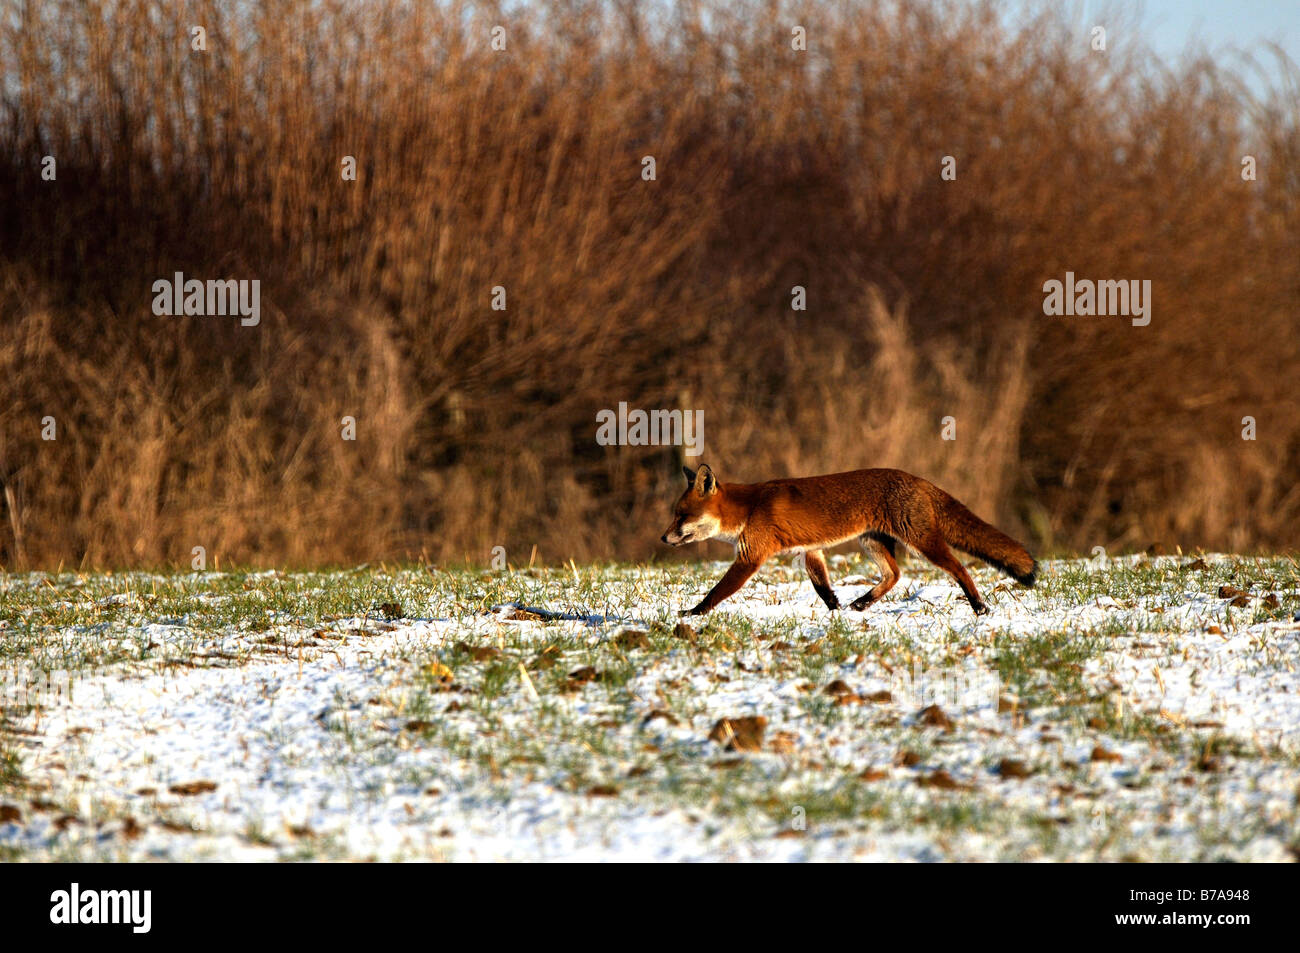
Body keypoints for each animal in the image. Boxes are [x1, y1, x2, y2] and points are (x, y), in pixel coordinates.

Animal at [660, 464, 1036, 616]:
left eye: (681, 516)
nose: (664, 538)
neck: (748, 508)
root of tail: (917, 478)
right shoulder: (810, 551)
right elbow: (823, 589)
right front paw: (837, 612)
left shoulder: (750, 557)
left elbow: (715, 592)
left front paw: (692, 613)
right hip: (872, 543)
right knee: (894, 575)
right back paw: (862, 603)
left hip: (920, 542)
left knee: (959, 567)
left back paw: (978, 606)